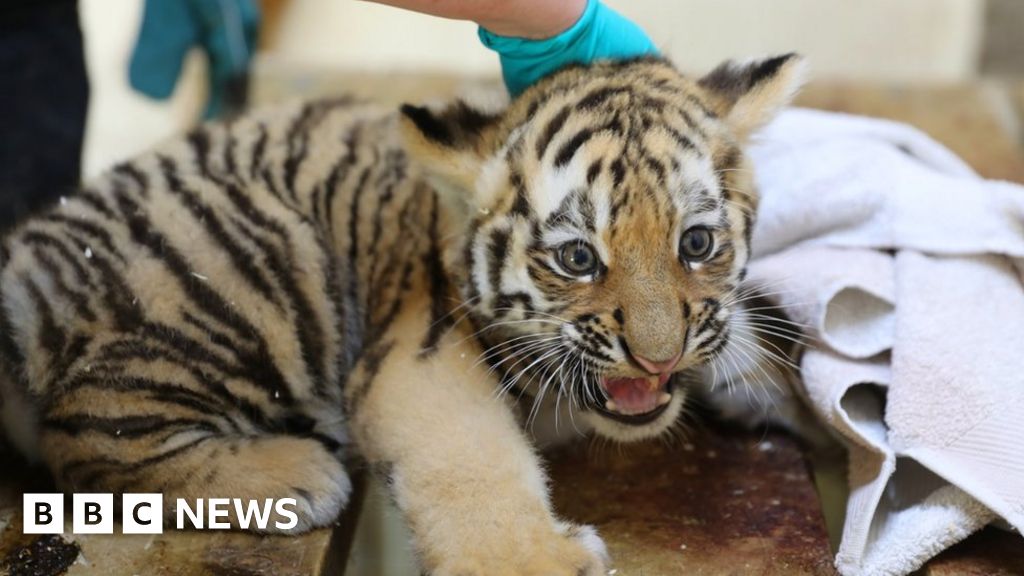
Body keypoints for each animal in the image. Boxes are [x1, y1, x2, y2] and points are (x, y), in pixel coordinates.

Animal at [0, 54, 804, 574]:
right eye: (578, 258)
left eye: (696, 243)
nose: (659, 359)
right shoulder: (421, 353)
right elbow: (473, 462)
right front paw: (537, 561)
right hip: (273, 259)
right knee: (87, 435)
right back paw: (294, 476)